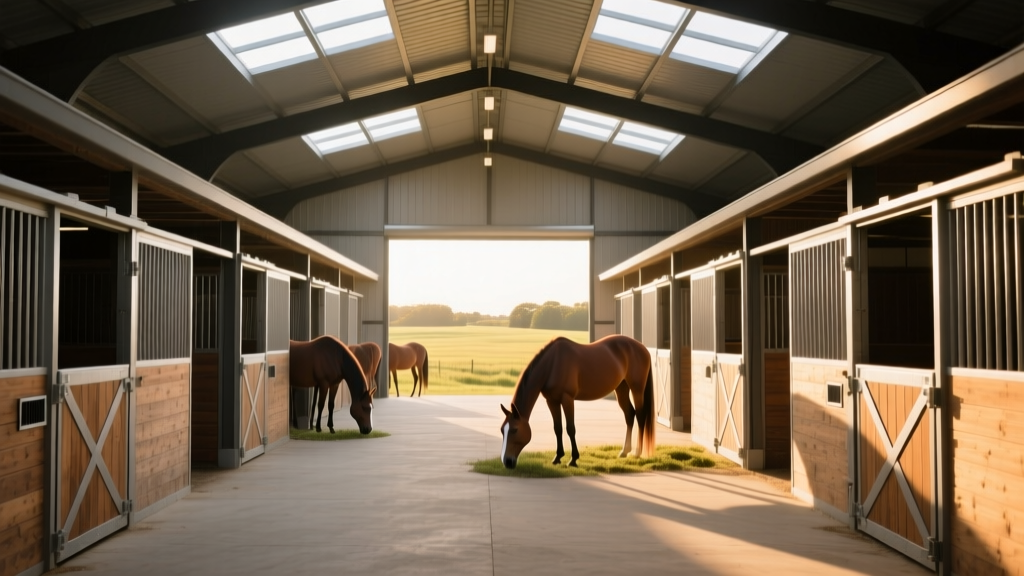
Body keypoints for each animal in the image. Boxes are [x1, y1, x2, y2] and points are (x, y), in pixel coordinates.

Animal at [498, 334, 654, 469]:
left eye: (515, 429)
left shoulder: (567, 399)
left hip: (637, 389)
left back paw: (637, 452)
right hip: (621, 388)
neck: (552, 364)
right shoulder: (552, 401)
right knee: (629, 415)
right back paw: (624, 451)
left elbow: (570, 428)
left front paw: (573, 459)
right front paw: (557, 457)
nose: (507, 462)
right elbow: (558, 428)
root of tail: (643, 348)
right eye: (501, 430)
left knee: (640, 415)